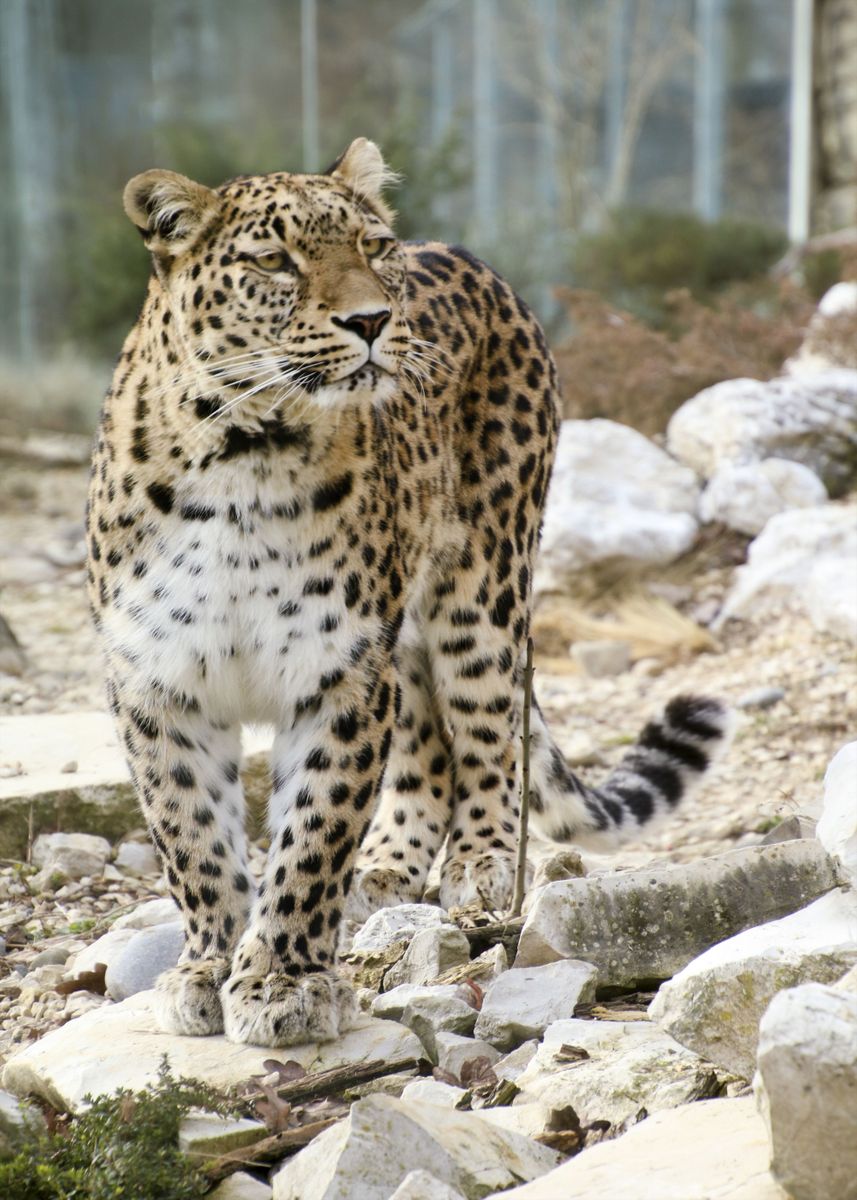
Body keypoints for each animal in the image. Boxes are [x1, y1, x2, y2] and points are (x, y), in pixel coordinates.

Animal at [86, 138, 731, 1048]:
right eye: (274, 261)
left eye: (371, 248)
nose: (371, 322)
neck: (242, 453)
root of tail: (467, 256)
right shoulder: (159, 680)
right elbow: (195, 842)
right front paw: (207, 968)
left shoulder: (339, 673)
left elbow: (311, 836)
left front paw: (284, 983)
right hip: (410, 627)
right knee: (425, 740)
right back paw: (388, 868)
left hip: (482, 590)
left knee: (487, 730)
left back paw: (481, 867)